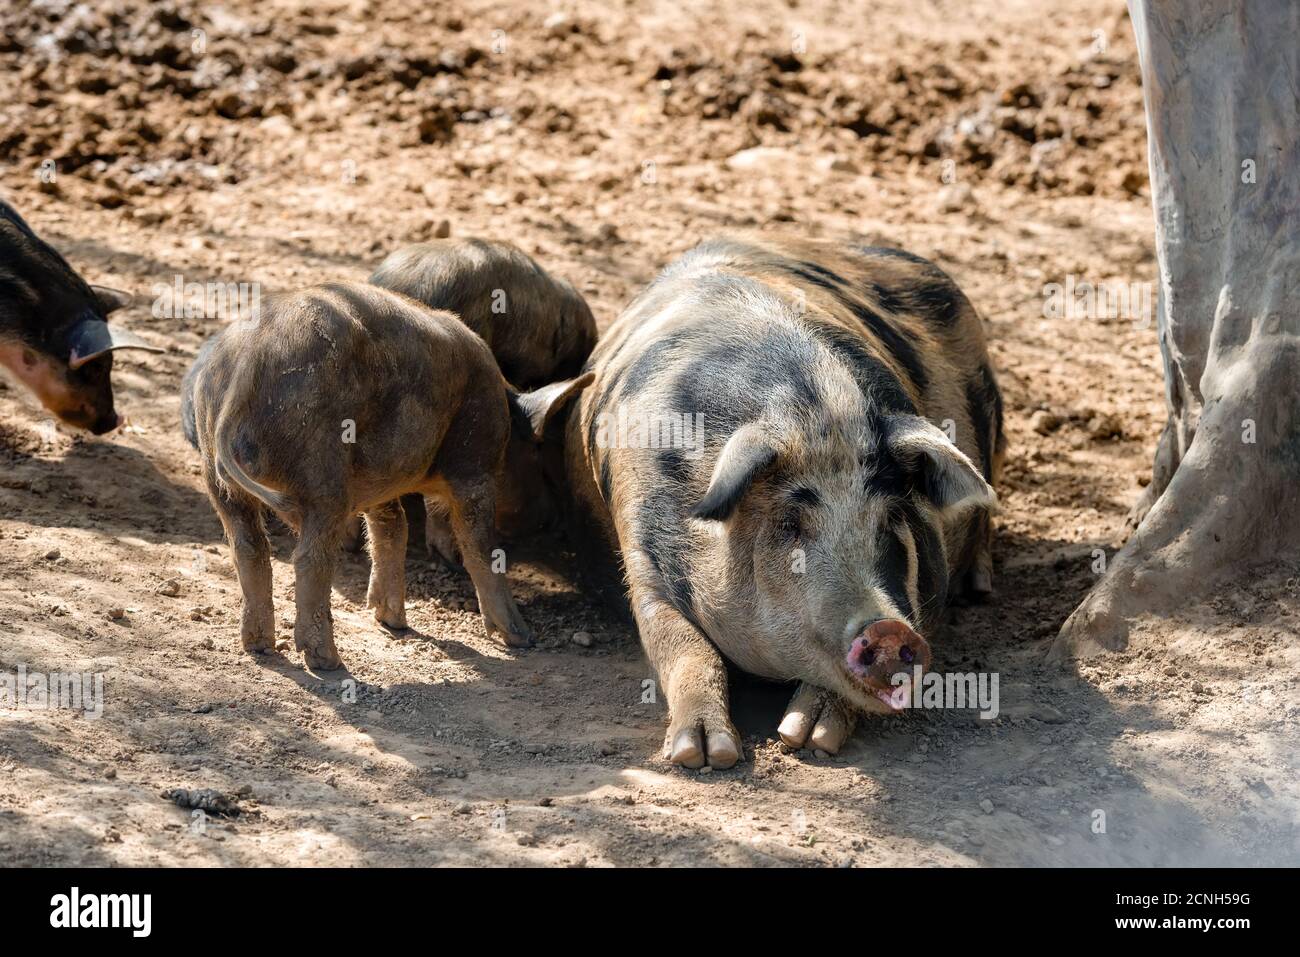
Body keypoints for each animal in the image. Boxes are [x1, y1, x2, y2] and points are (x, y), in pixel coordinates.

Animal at [181, 281, 590, 670]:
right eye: (540, 460)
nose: (555, 521)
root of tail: (248, 361)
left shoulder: (380, 481)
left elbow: (390, 530)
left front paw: (392, 621)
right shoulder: (473, 466)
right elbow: (480, 547)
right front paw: (522, 639)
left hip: (218, 478)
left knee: (249, 548)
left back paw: (259, 646)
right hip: (321, 473)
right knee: (309, 557)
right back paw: (328, 662)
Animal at [562, 236, 1004, 769]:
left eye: (891, 518)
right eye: (790, 523)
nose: (887, 629)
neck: (813, 416)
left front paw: (807, 740)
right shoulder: (639, 545)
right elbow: (681, 645)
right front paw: (705, 755)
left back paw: (980, 588)